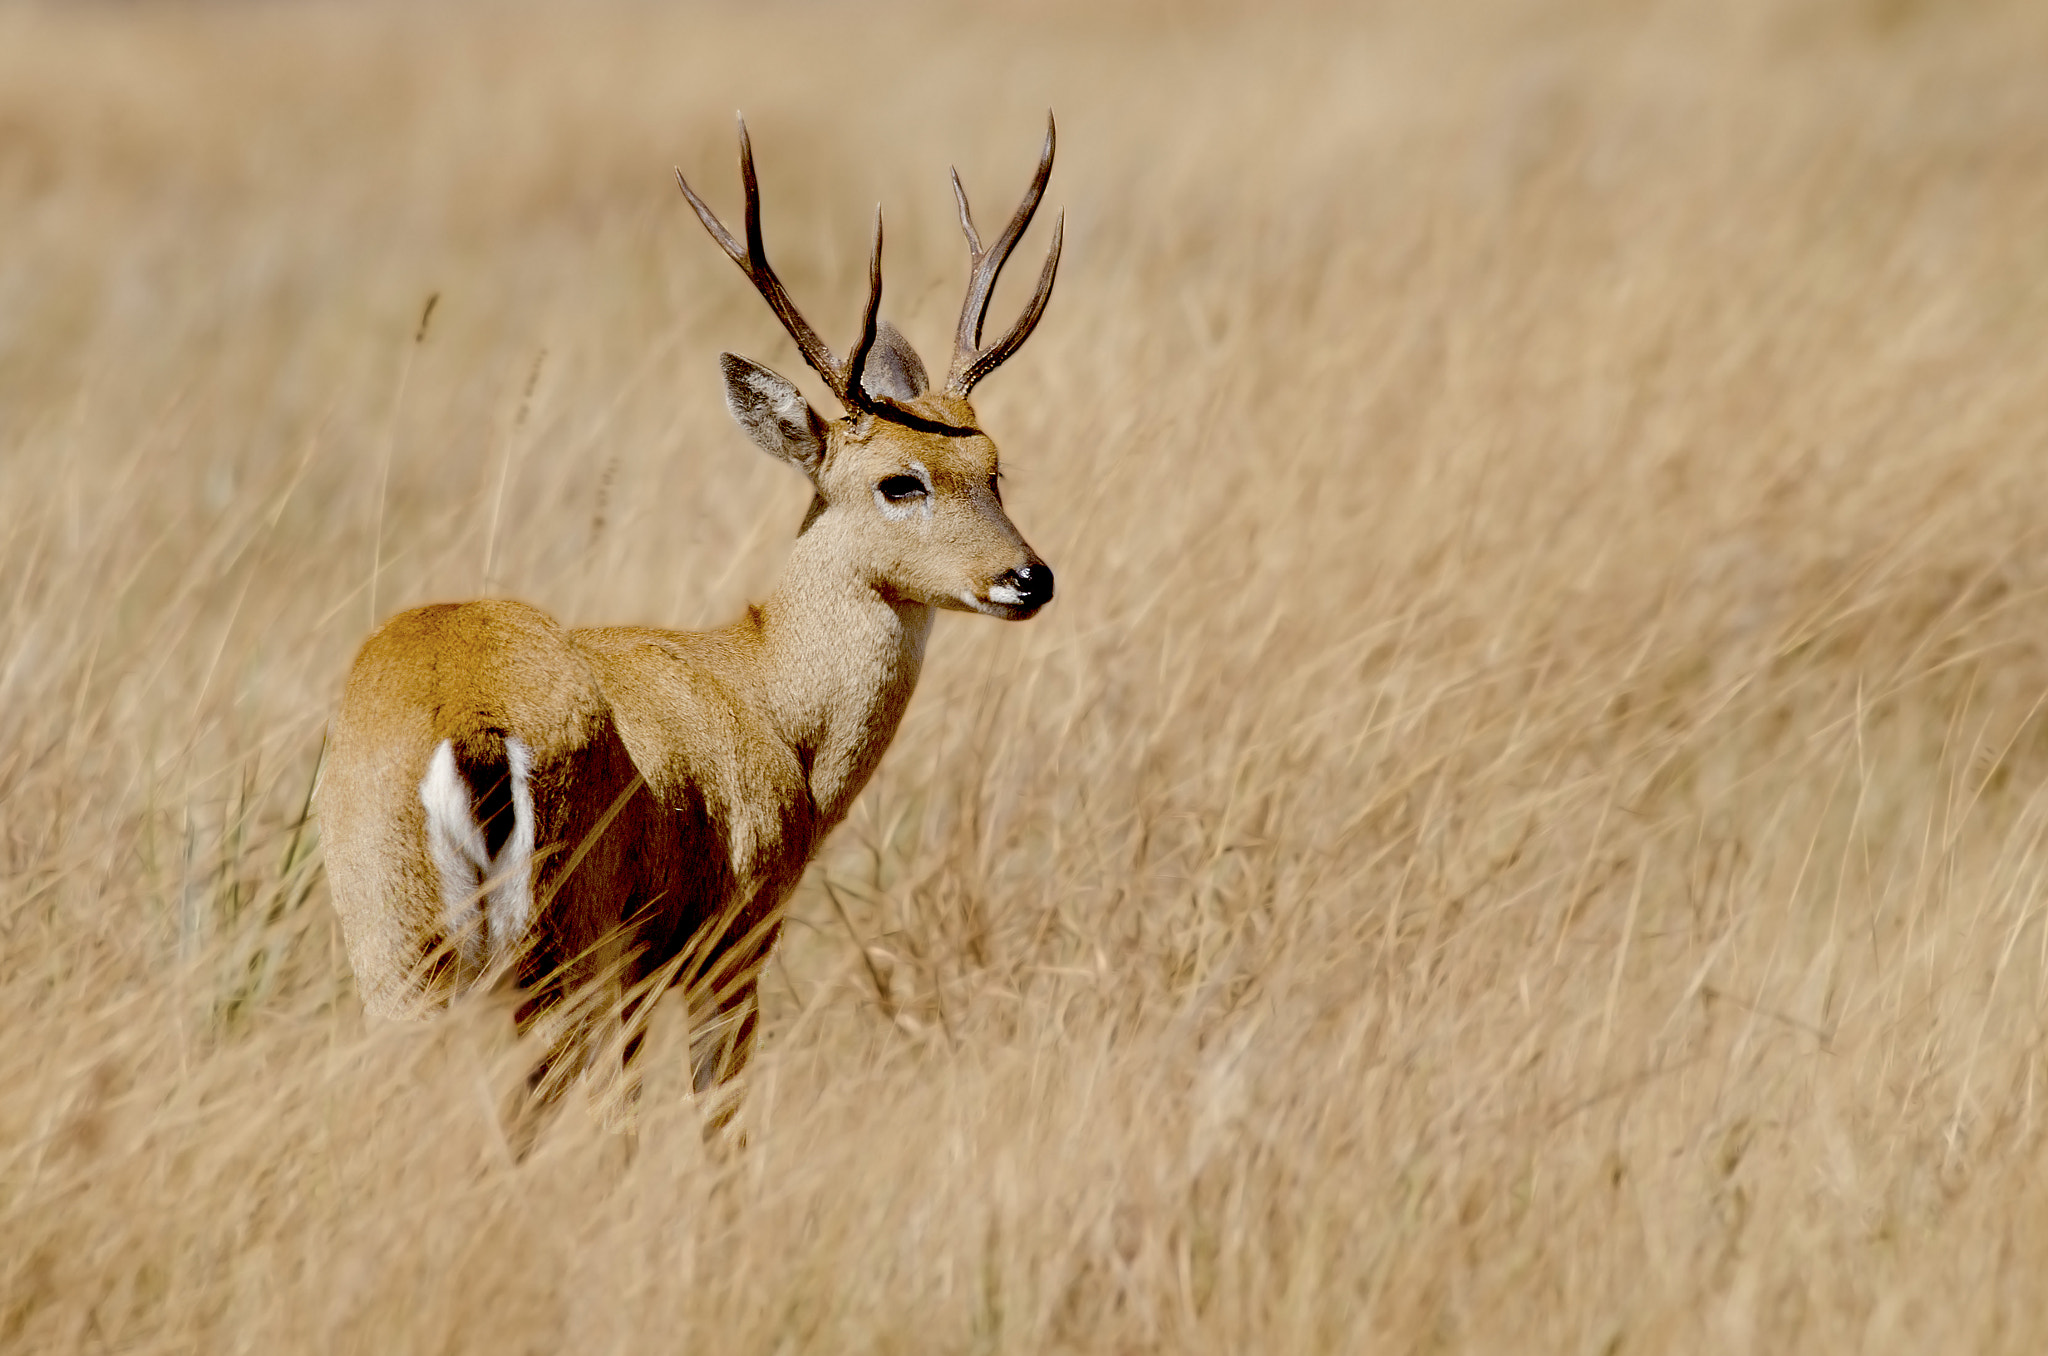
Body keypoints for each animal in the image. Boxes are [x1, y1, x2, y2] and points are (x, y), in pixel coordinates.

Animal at [315, 115, 1062, 1141]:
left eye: (995, 466)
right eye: (900, 481)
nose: (1029, 578)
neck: (769, 700)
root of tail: (466, 725)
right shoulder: (728, 937)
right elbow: (716, 1127)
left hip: (394, 946)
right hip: (554, 952)